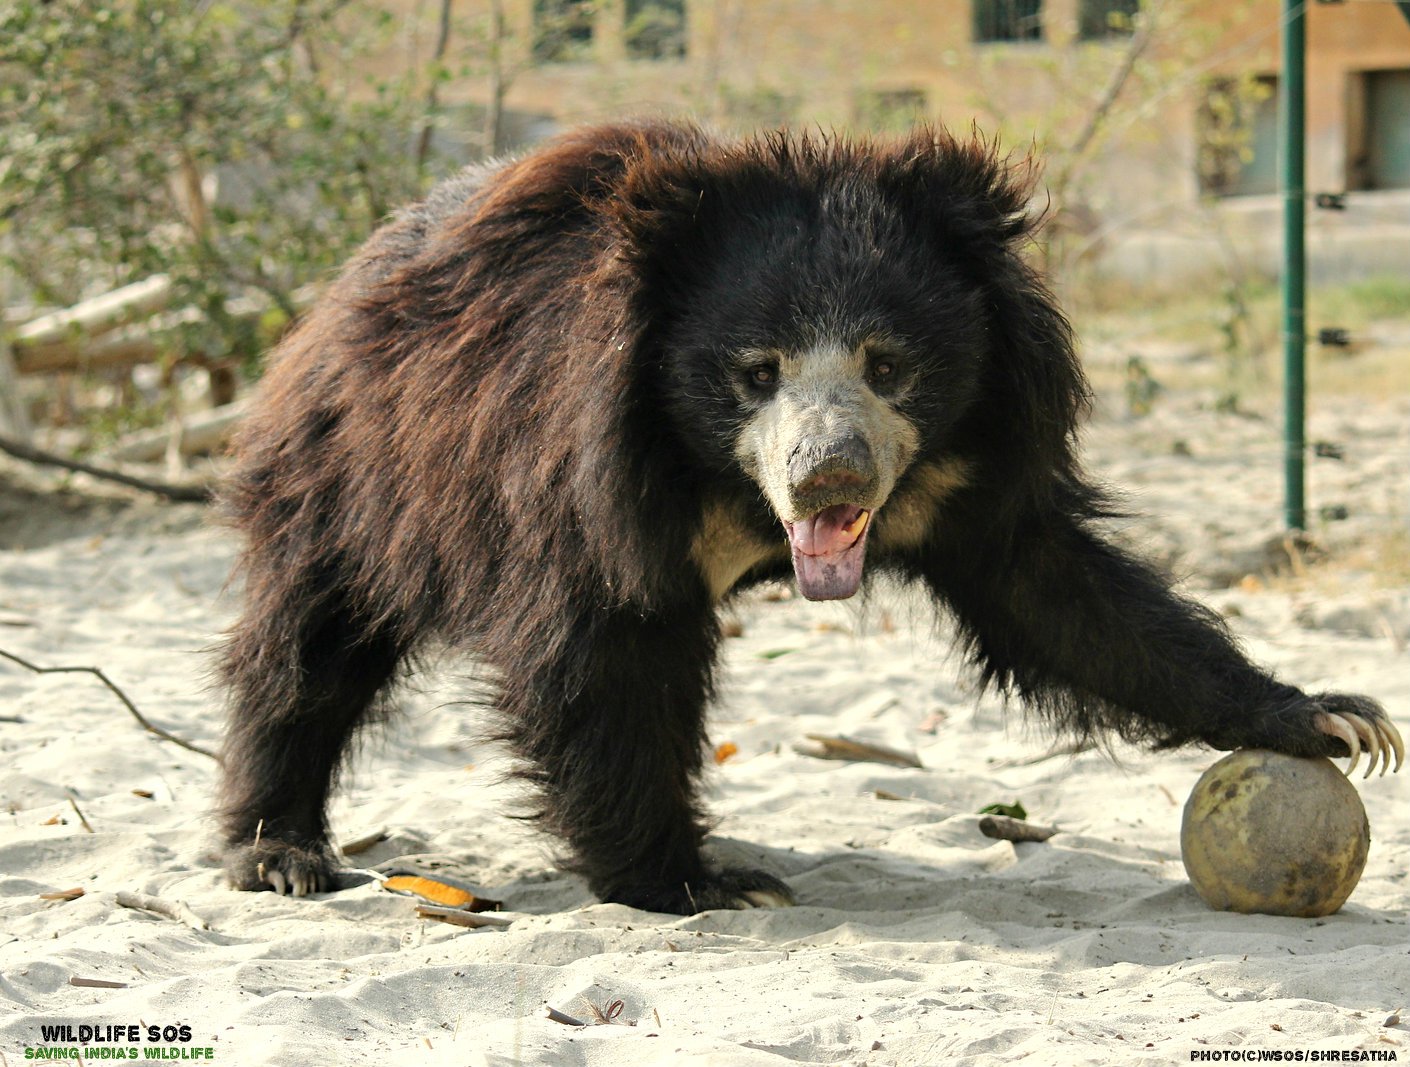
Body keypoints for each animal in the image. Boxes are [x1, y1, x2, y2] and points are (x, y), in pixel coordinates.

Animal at [217, 120, 1403, 914]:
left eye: (889, 363)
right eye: (758, 371)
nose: (830, 476)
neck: (726, 487)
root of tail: (341, 292)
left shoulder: (973, 465)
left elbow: (1069, 598)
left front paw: (1330, 718)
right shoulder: (585, 479)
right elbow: (599, 657)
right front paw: (694, 880)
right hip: (356, 476)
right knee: (310, 655)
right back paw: (280, 851)